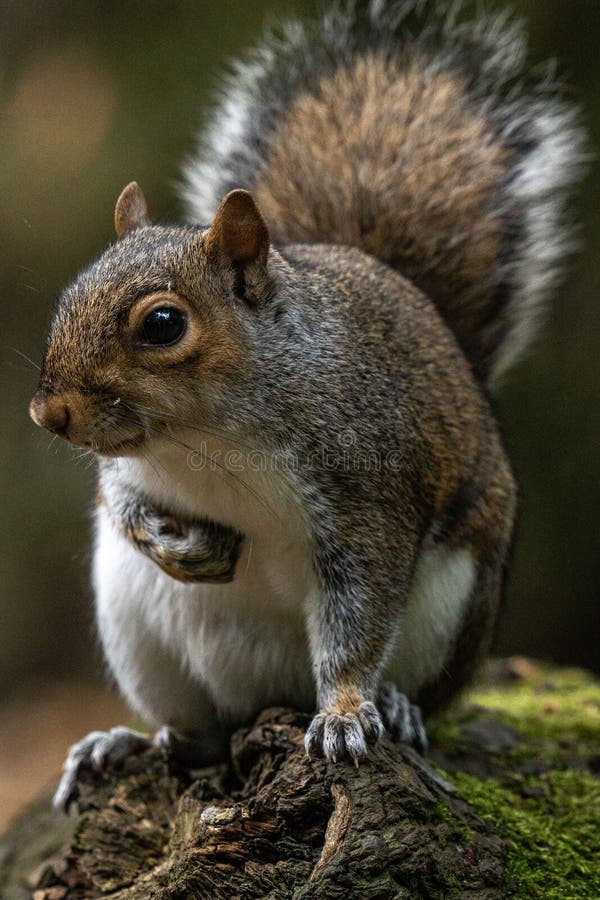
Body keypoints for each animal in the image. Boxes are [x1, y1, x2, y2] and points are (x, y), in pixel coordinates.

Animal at [29, 0, 584, 810]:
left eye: (162, 324)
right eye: (71, 293)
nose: (50, 416)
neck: (208, 439)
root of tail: (265, 696)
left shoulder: (367, 495)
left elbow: (357, 619)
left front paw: (348, 712)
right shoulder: (129, 471)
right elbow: (125, 506)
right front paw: (174, 544)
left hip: (452, 606)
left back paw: (398, 708)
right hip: (137, 629)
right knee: (198, 736)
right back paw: (123, 744)